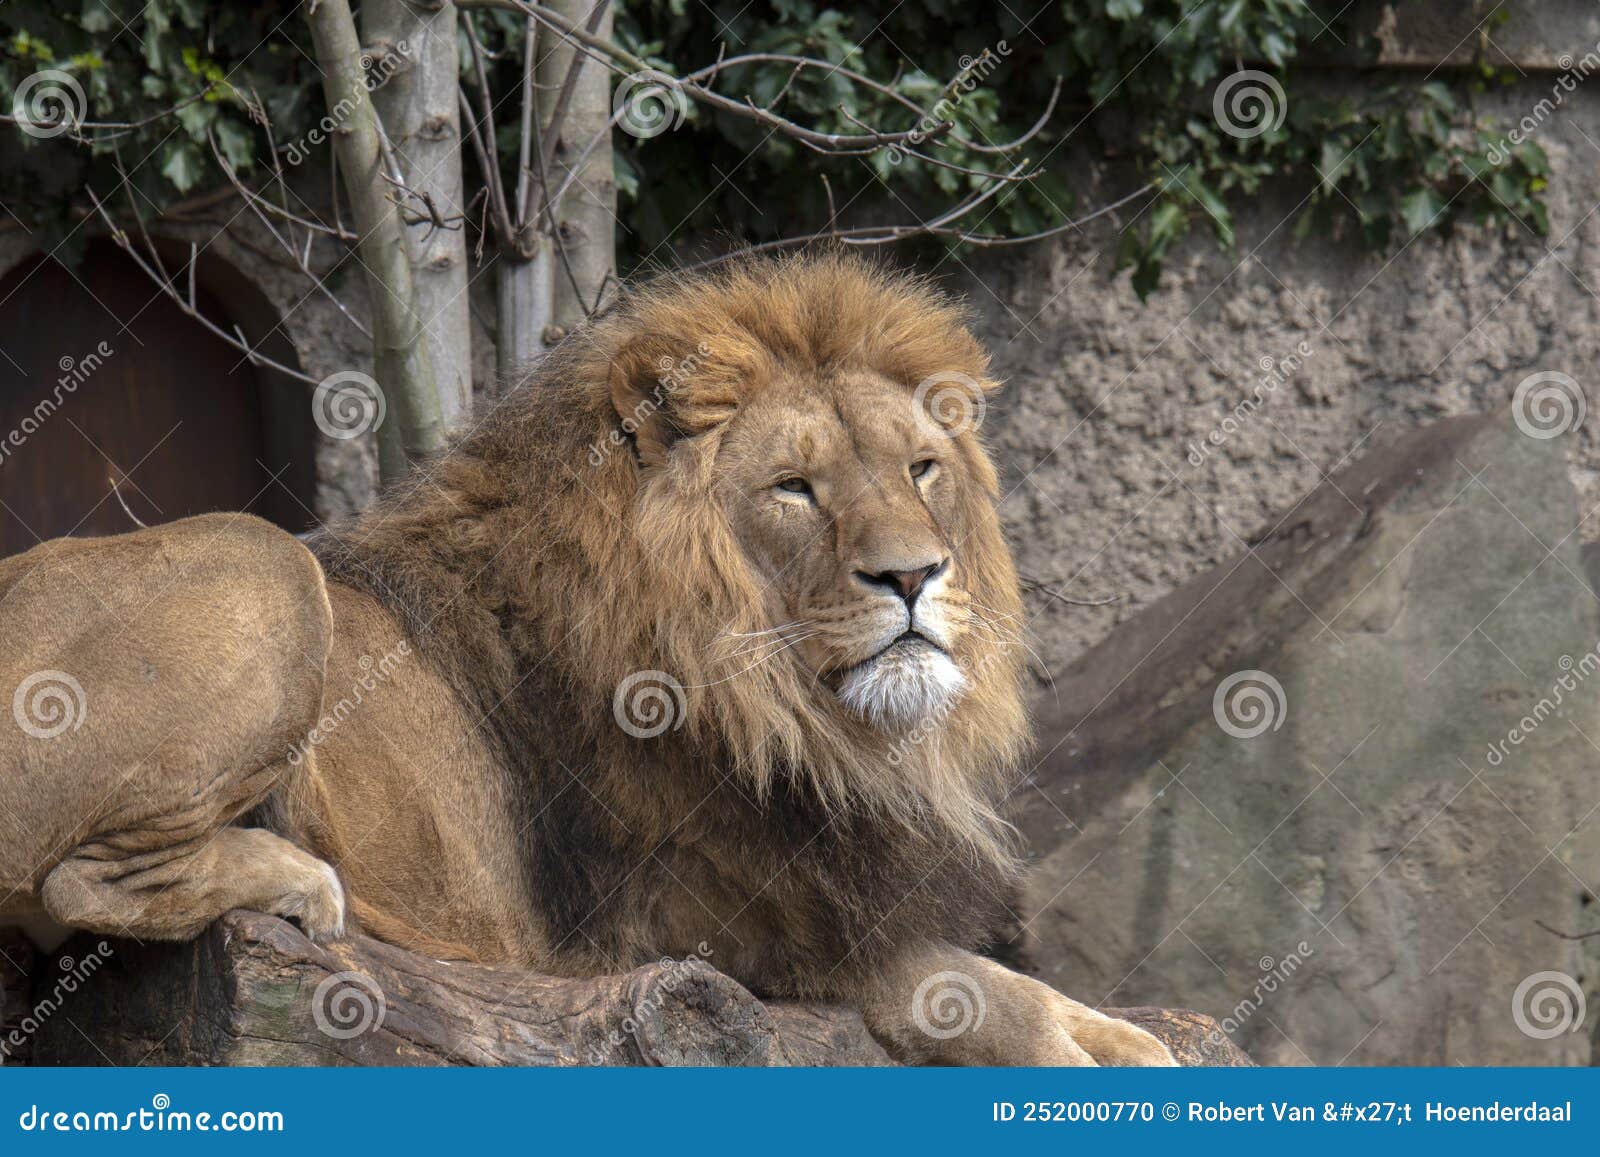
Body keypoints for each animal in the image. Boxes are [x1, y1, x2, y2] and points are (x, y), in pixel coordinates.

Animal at [0, 254, 1172, 1066]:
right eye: (793, 488)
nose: (915, 574)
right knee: (79, 881)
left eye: (922, 468)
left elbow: (1073, 1004)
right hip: (268, 560)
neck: (804, 721)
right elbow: (977, 990)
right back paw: (301, 878)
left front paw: (1139, 1042)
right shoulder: (720, 937)